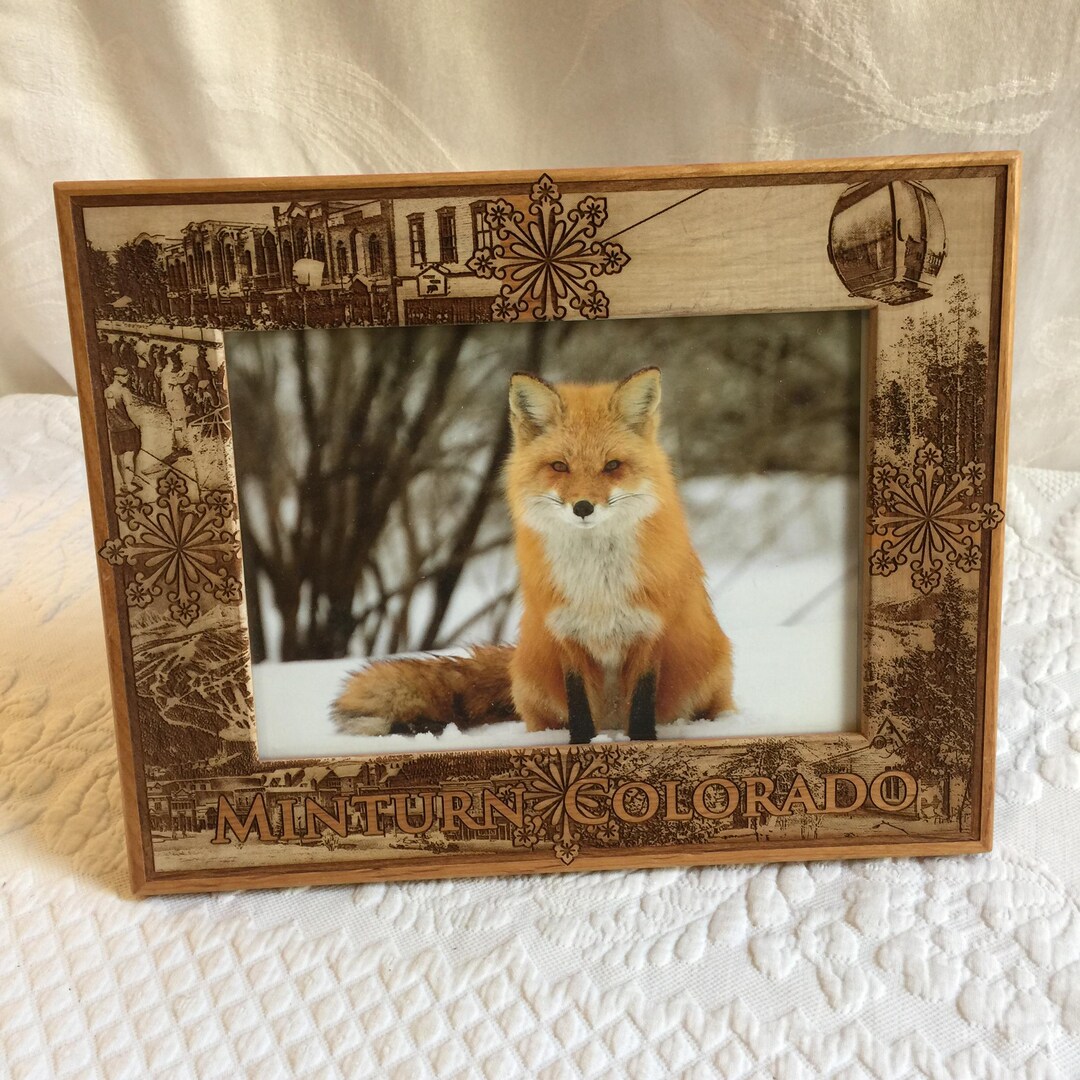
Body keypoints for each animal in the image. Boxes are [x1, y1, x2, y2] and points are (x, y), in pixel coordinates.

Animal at [334, 366, 734, 742]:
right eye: (559, 466)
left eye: (612, 466)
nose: (583, 507)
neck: (597, 587)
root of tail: (612, 723)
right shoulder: (565, 631)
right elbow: (578, 705)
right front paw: (581, 745)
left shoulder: (649, 630)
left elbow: (641, 704)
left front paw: (642, 743)